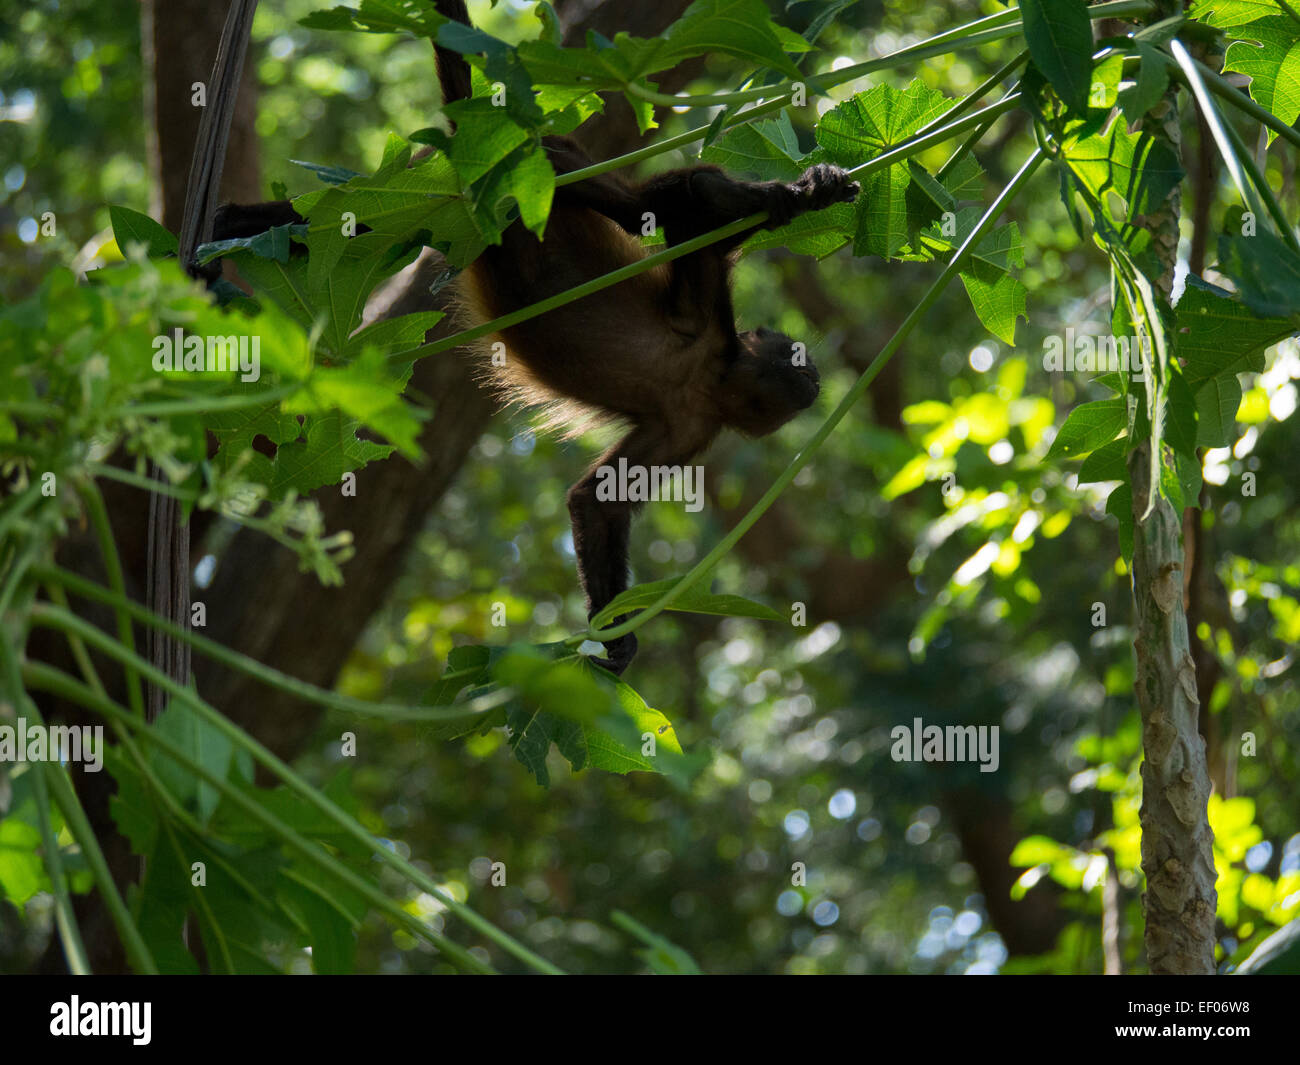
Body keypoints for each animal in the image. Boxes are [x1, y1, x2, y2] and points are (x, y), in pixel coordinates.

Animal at [209, 0, 859, 675]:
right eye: (796, 353)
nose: (817, 375)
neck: (709, 379)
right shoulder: (706, 323)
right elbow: (692, 199)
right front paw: (803, 194)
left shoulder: (688, 426)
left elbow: (598, 501)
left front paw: (615, 637)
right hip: (519, 171)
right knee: (600, 190)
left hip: (448, 218)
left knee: (355, 224)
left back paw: (232, 231)